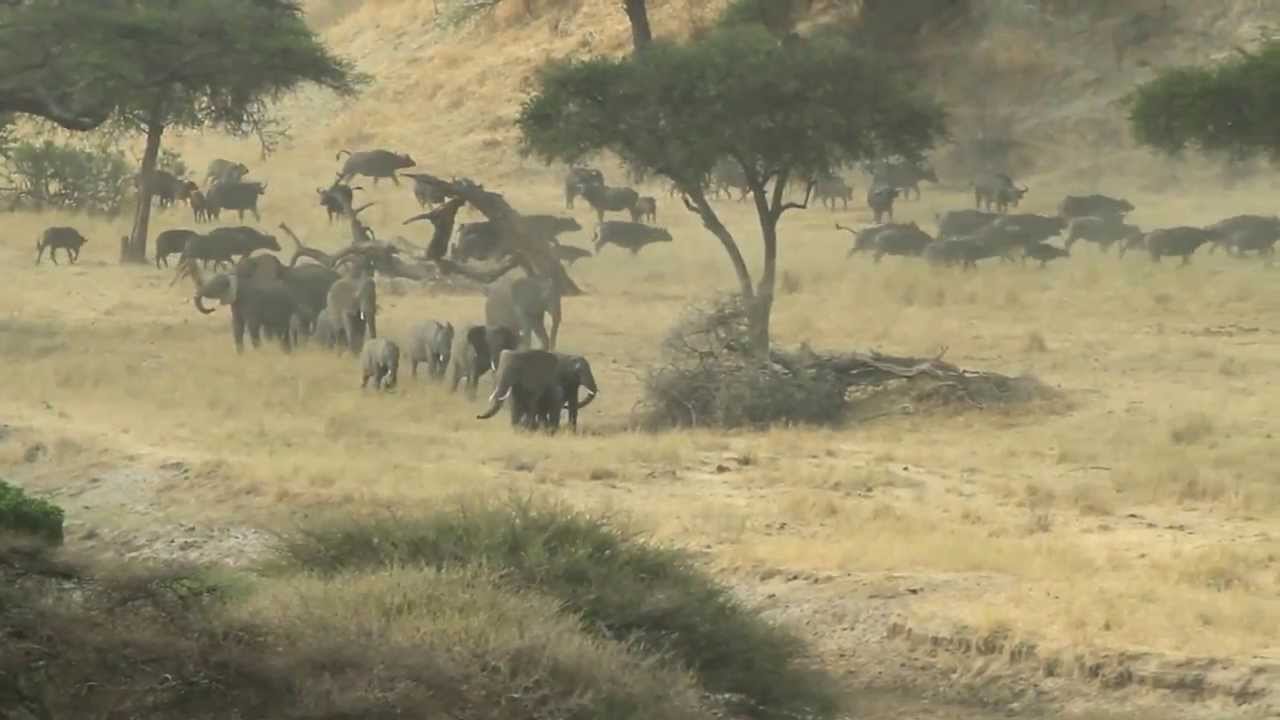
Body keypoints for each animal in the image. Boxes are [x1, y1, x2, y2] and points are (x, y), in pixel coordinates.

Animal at [174, 253, 322, 354]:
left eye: (216, 285)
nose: (212, 309)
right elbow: (237, 326)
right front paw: (241, 354)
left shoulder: (254, 302)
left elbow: (253, 325)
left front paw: (259, 351)